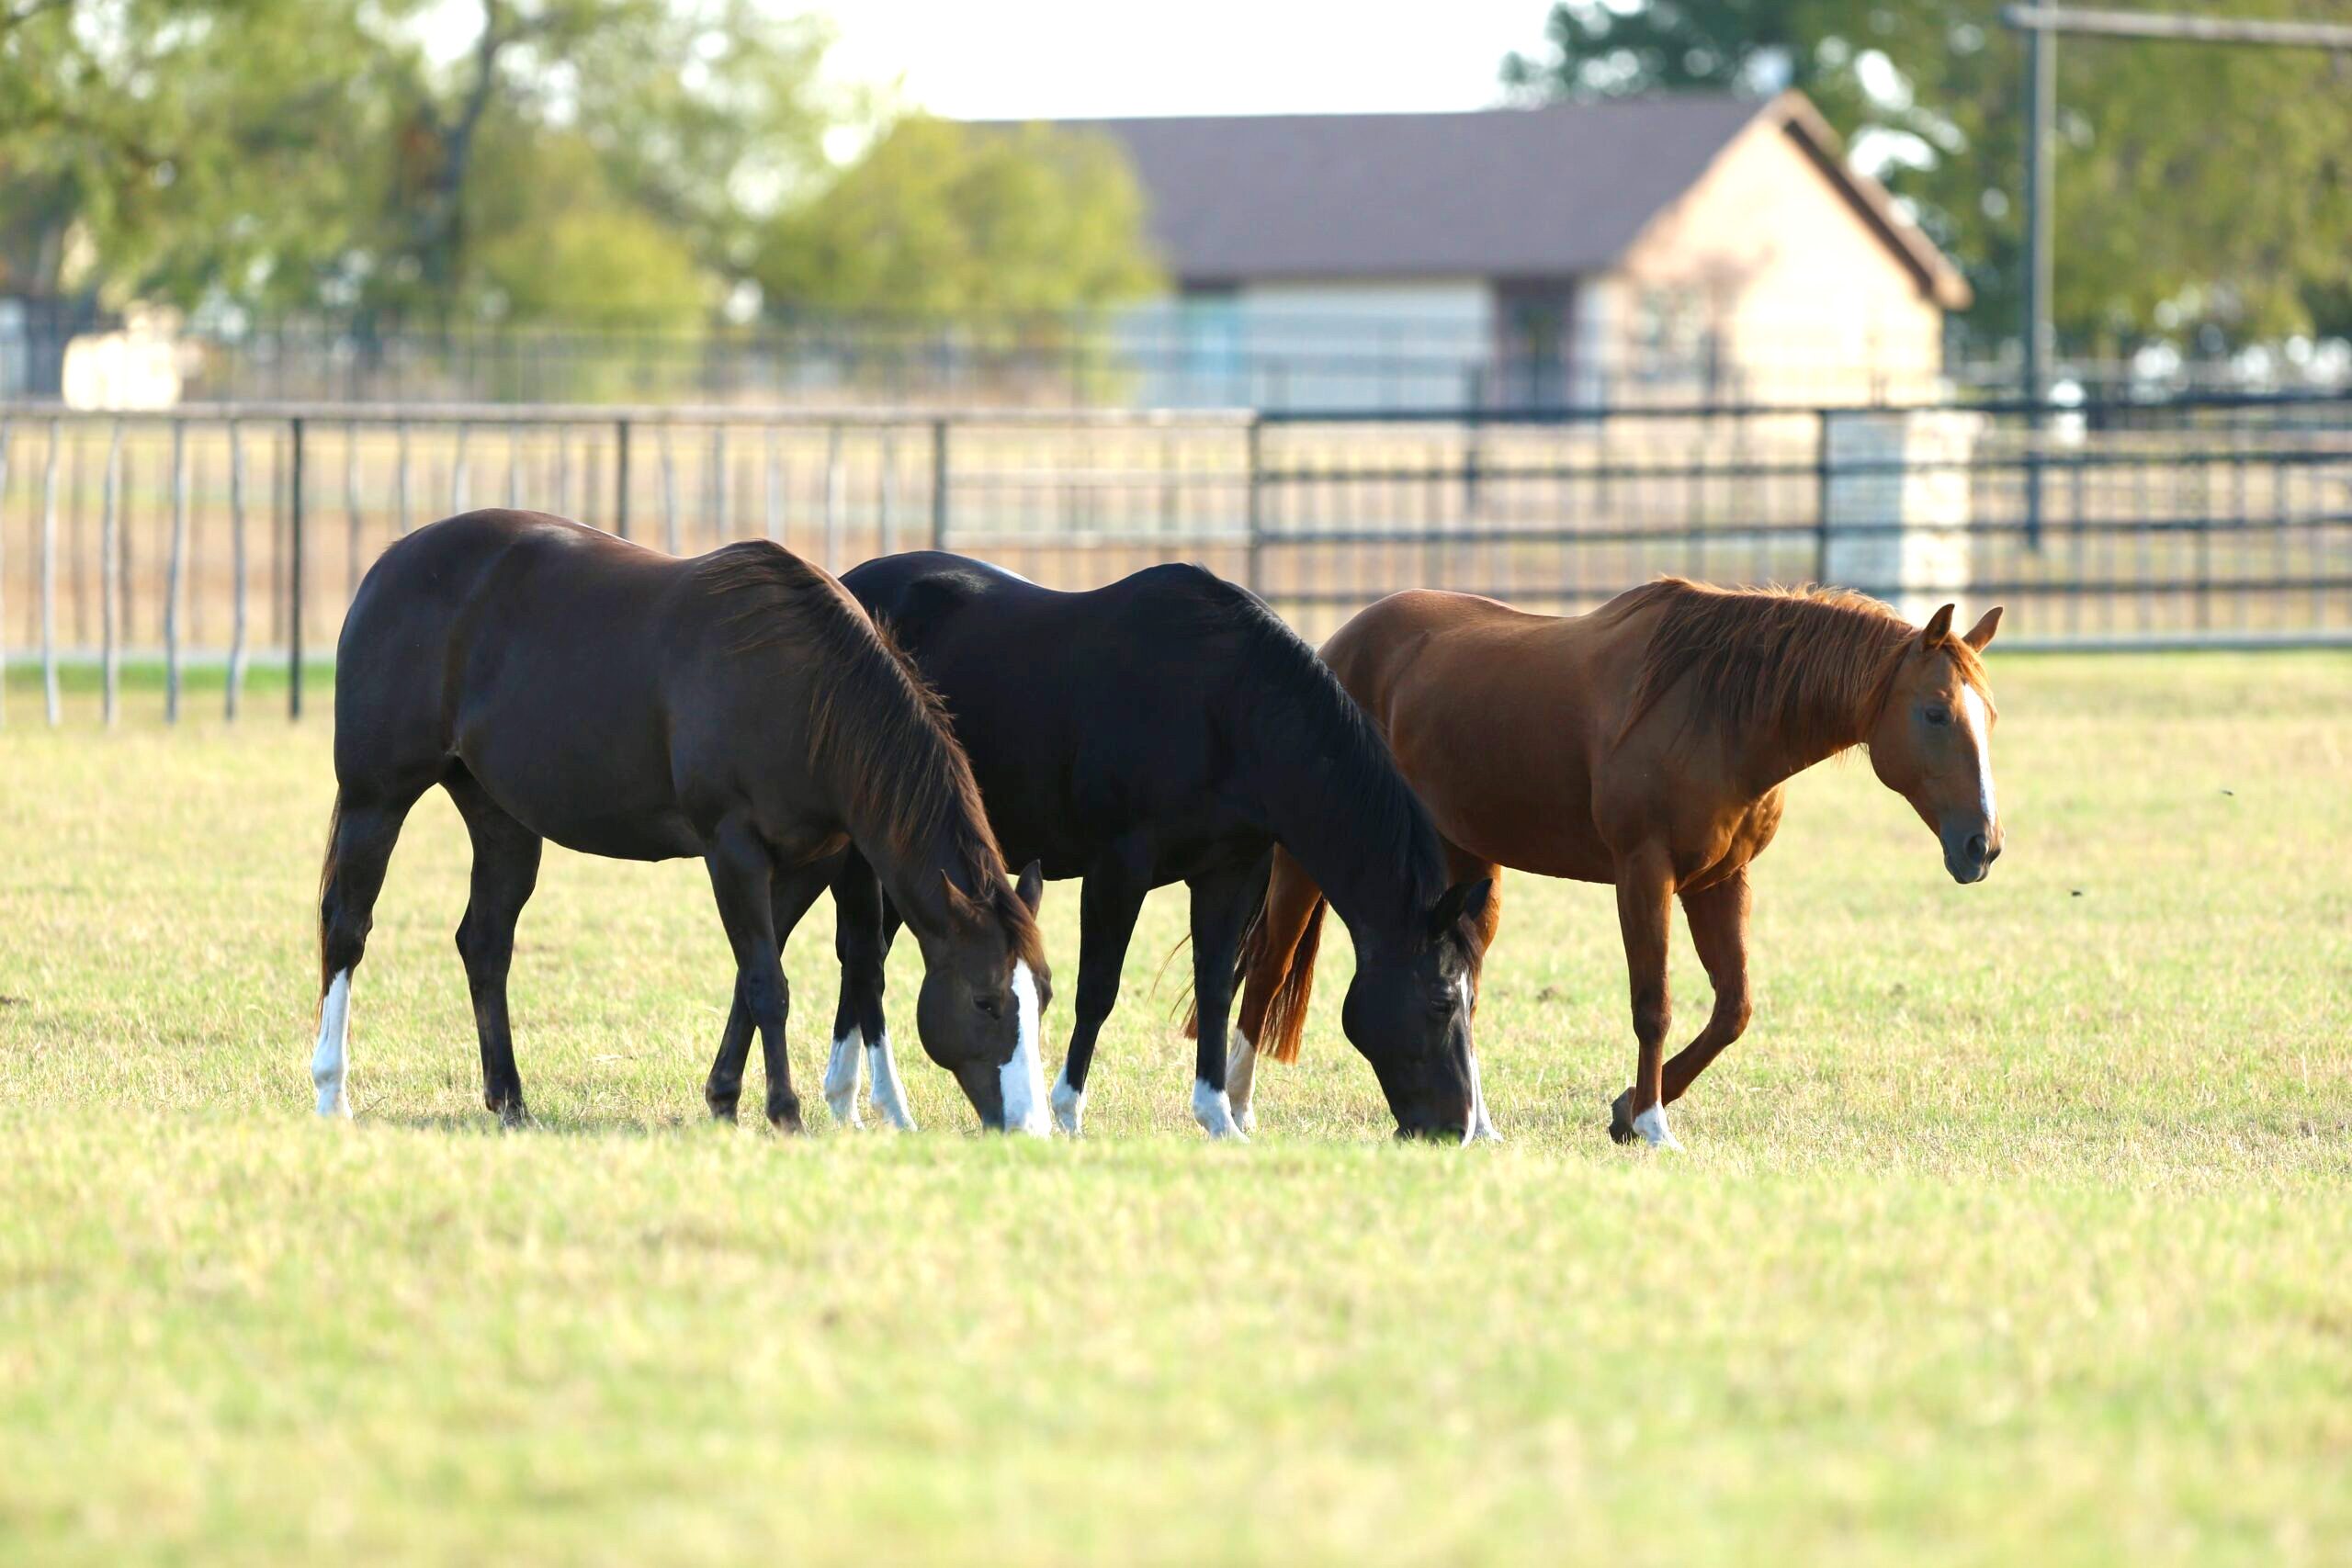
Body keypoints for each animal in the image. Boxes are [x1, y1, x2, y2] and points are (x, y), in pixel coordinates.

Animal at [310, 510, 1054, 1134]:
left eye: (1043, 996)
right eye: (987, 1000)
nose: (1031, 1127)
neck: (805, 691)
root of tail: (391, 563)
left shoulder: (810, 859)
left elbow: (760, 975)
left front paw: (725, 1097)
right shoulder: (733, 850)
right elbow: (768, 984)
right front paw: (784, 1112)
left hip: (502, 819)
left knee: (485, 943)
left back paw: (511, 1101)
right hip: (377, 799)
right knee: (347, 929)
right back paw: (331, 1091)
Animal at [702, 552, 1494, 1141]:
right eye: (1440, 1001)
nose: (1455, 1127)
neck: (1229, 705)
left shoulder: (1229, 872)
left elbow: (1216, 987)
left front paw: (1217, 1117)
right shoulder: (1120, 867)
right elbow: (1098, 989)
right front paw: (1067, 1111)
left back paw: (805, 1097)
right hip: (854, 849)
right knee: (847, 955)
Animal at [1225, 578, 2005, 1149]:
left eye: (1988, 716)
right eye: (1936, 712)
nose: (1983, 845)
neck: (1717, 712)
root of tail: (1340, 642)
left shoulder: (1720, 881)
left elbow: (1733, 1007)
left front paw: (1627, 1109)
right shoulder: (1644, 874)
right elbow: (1653, 1003)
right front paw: (1651, 1123)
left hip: (1468, 860)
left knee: (1460, 986)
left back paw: (1478, 1124)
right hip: (1306, 862)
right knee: (1267, 968)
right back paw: (1234, 1108)